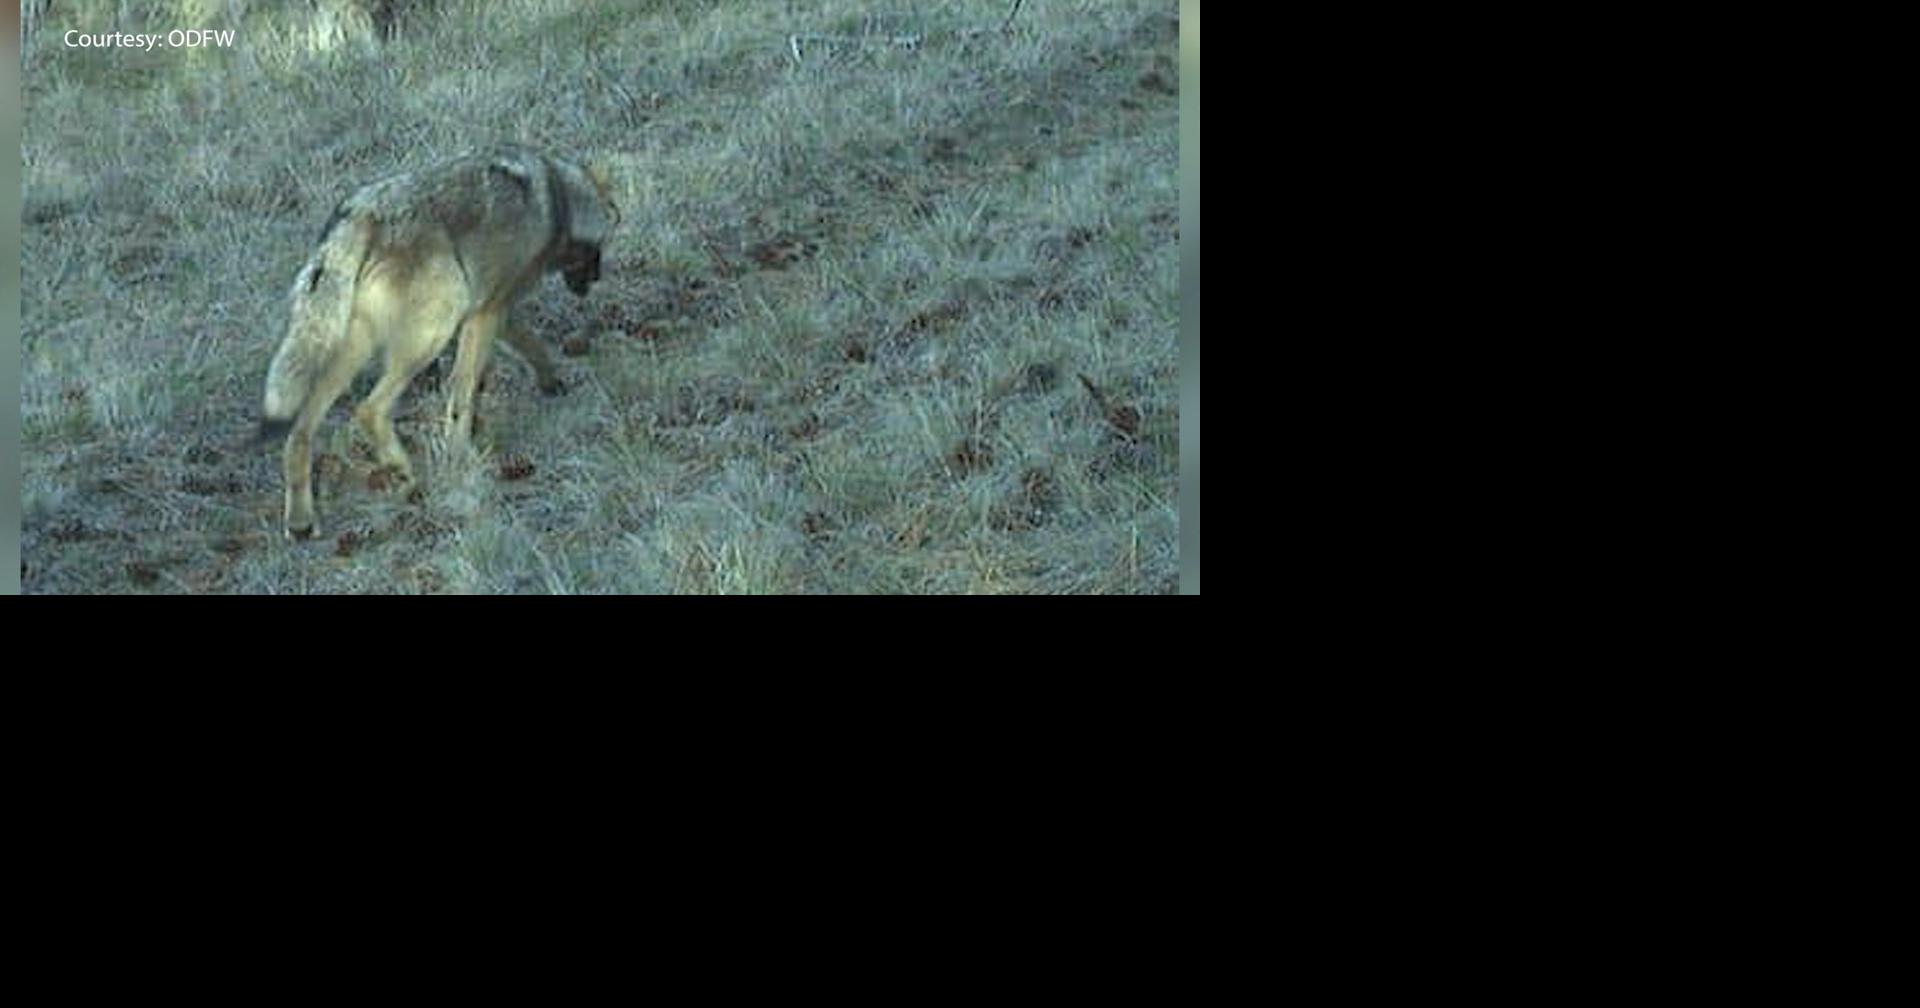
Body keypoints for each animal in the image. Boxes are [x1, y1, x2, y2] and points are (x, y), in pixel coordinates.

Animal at [260, 143, 618, 539]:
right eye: (602, 246)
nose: (597, 278)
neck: (559, 199)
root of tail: (361, 215)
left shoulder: (492, 308)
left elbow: (532, 347)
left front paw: (551, 381)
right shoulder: (486, 309)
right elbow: (463, 393)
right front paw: (463, 457)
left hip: (352, 349)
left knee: (300, 430)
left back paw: (302, 520)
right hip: (434, 328)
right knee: (369, 409)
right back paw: (404, 474)